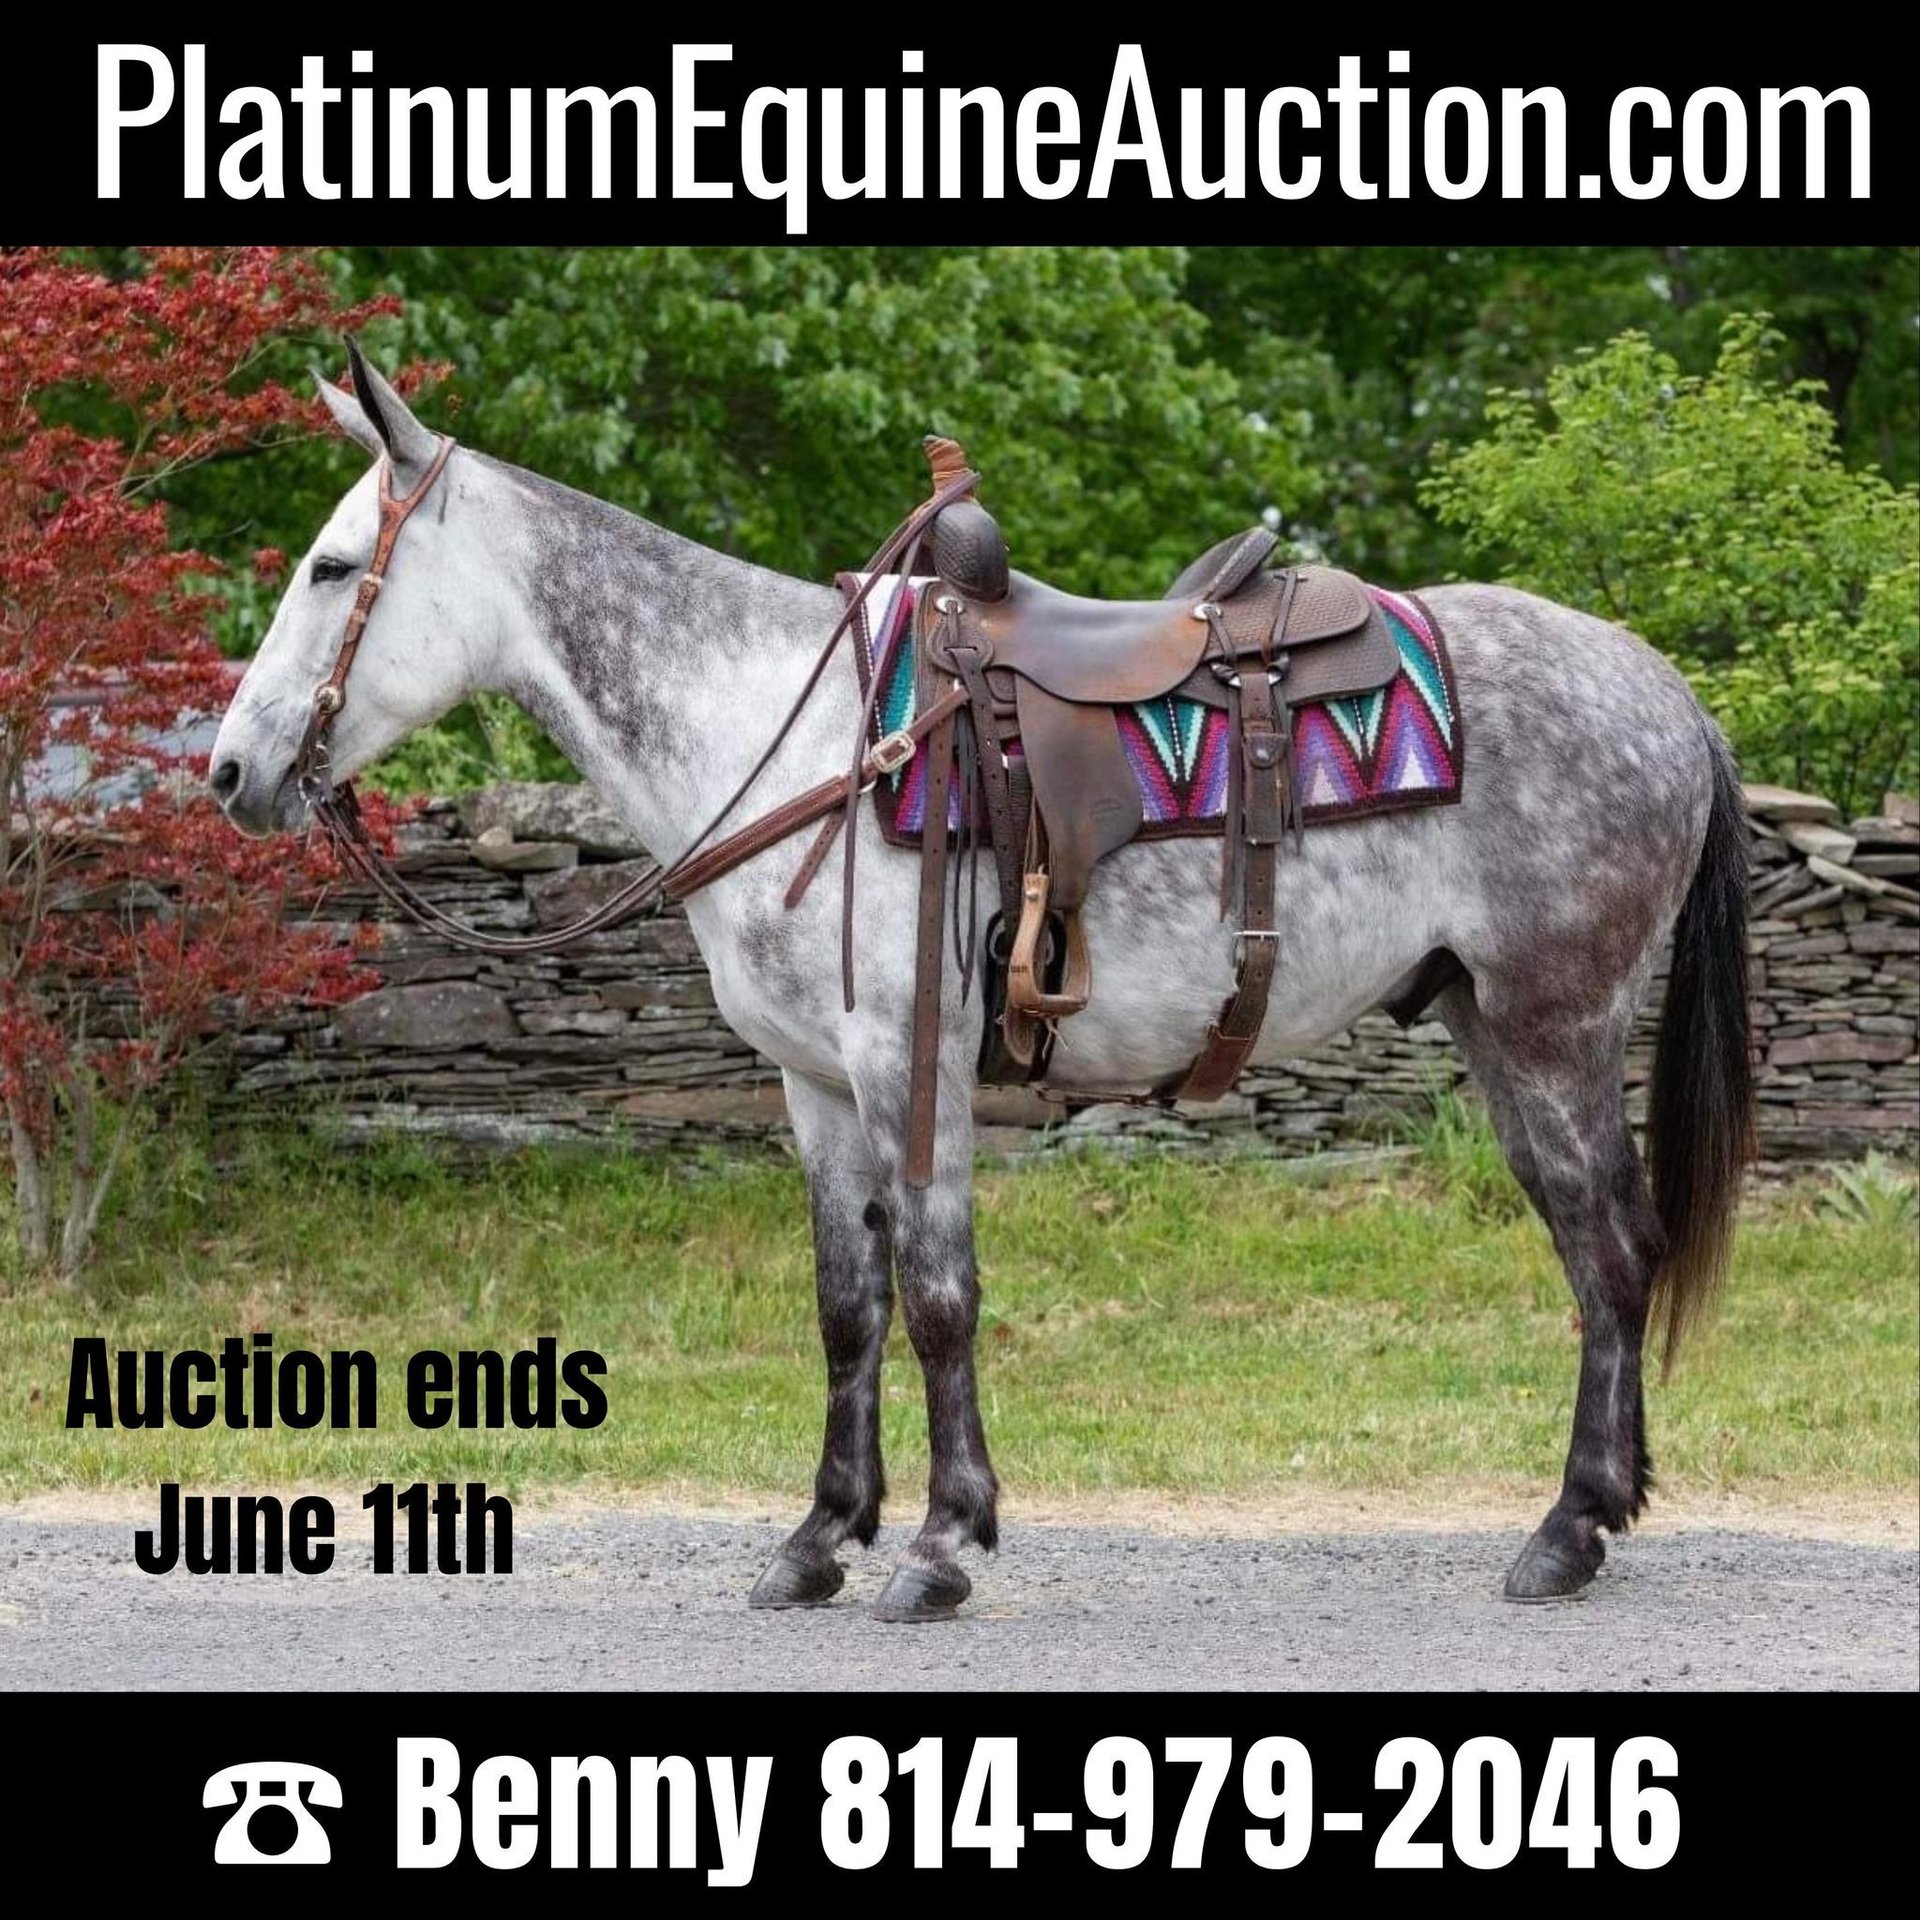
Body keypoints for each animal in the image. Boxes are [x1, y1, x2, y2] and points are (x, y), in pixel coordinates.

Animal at [210, 352, 1754, 1621]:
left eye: (334, 568)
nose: (229, 771)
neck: (791, 739)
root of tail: (1669, 695)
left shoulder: (914, 1061)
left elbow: (939, 1293)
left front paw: (943, 1546)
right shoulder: (814, 1086)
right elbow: (848, 1305)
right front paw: (817, 1541)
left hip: (1557, 1026)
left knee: (1615, 1250)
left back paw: (1567, 1533)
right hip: (1493, 1025)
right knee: (1594, 1245)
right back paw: (1602, 1507)